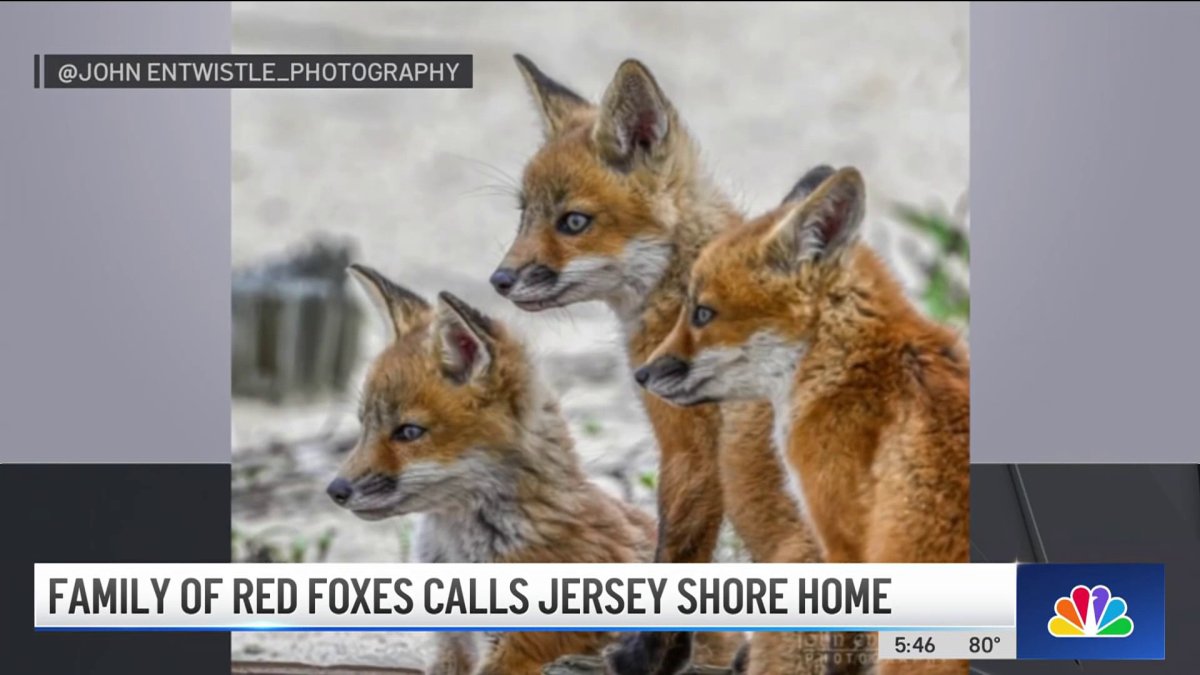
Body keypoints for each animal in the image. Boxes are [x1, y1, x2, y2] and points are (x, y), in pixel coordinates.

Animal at [489, 55, 840, 674]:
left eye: (573, 222)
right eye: (525, 216)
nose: (499, 280)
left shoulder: (688, 449)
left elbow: (676, 557)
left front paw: (644, 657)